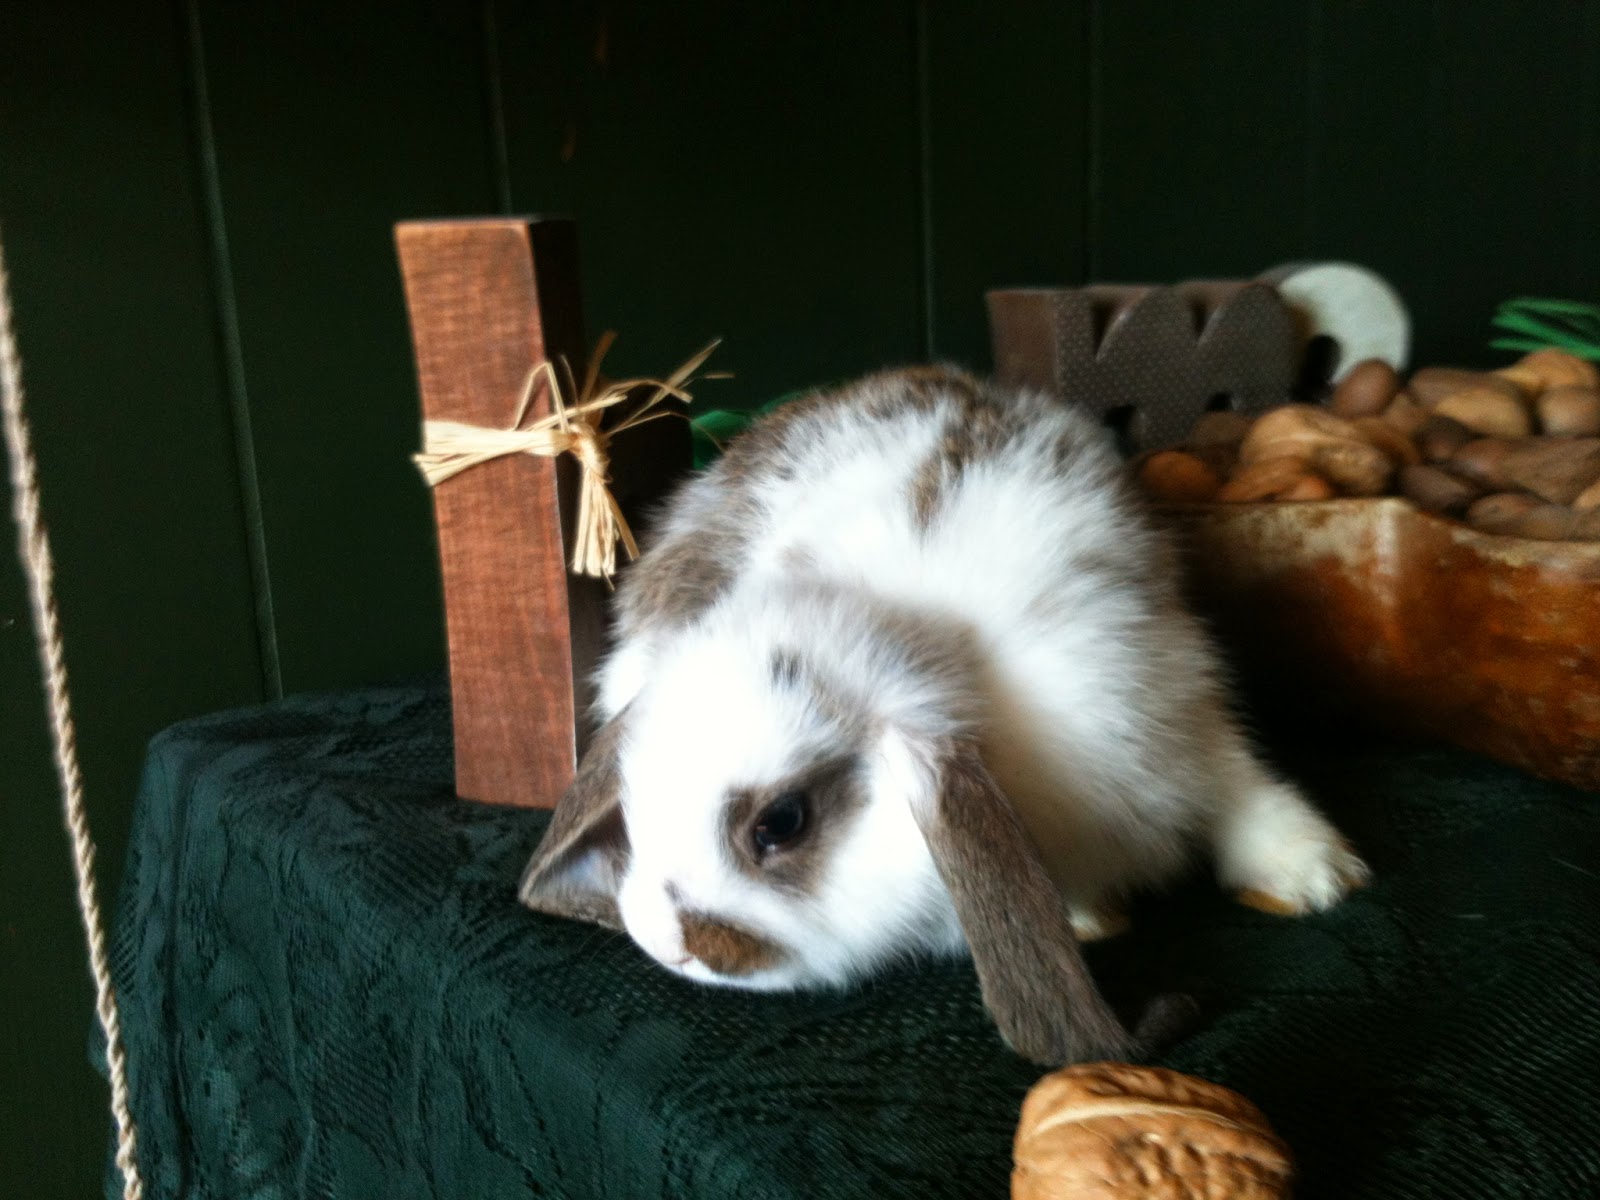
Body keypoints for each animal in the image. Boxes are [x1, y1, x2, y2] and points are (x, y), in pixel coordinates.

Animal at [518, 365, 1369, 1065]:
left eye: (782, 823)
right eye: (635, 806)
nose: (670, 946)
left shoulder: (1165, 706)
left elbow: (1230, 784)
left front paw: (1319, 878)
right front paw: (1089, 917)